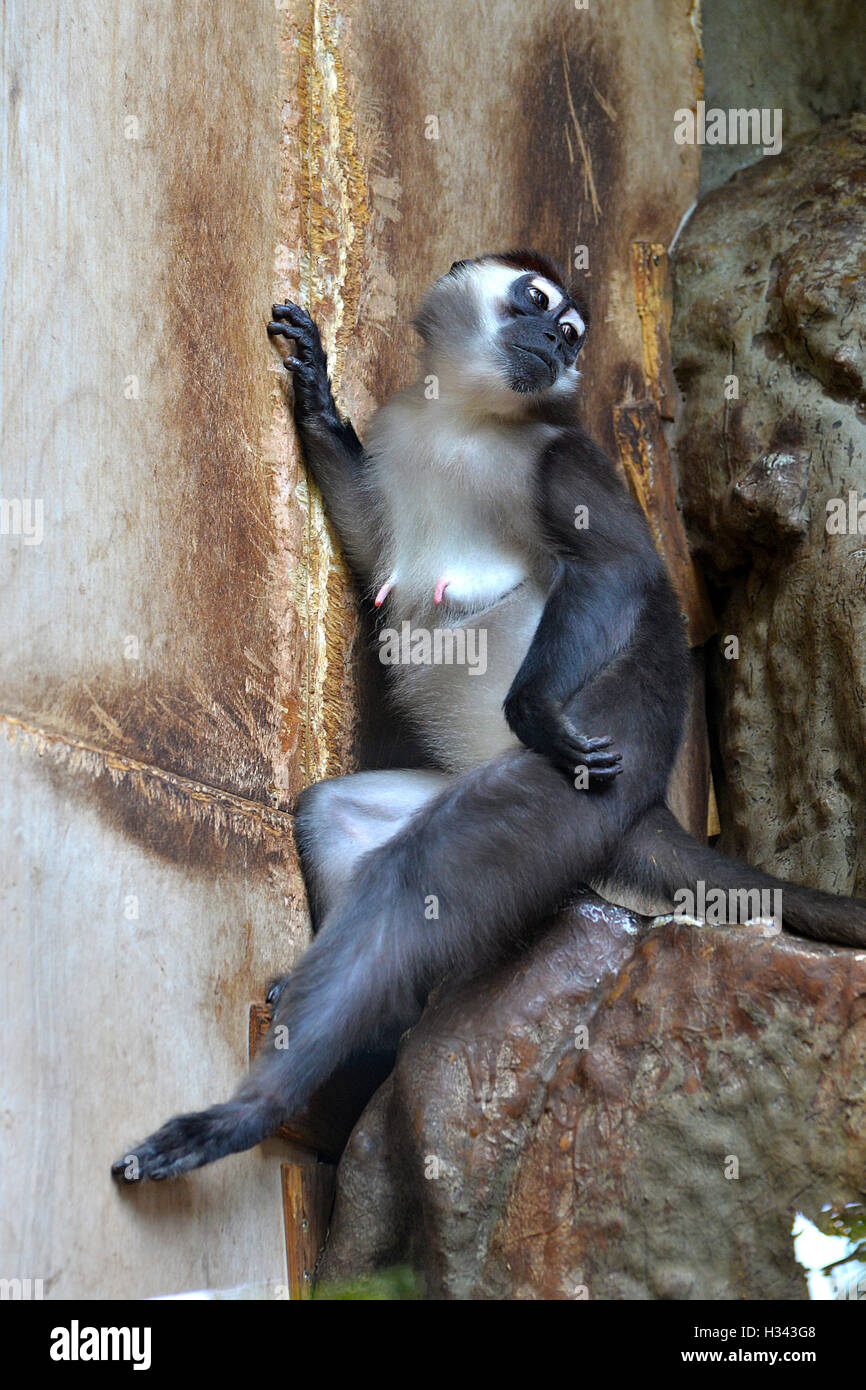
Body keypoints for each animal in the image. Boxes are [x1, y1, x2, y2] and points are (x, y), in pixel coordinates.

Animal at [112, 250, 866, 1183]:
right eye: (534, 304)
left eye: (570, 331)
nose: (552, 340)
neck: (466, 419)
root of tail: (648, 804)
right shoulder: (403, 429)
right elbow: (374, 542)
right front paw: (318, 393)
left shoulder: (566, 456)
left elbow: (621, 571)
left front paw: (536, 705)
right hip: (452, 787)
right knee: (338, 816)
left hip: (569, 797)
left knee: (417, 878)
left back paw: (247, 1113)